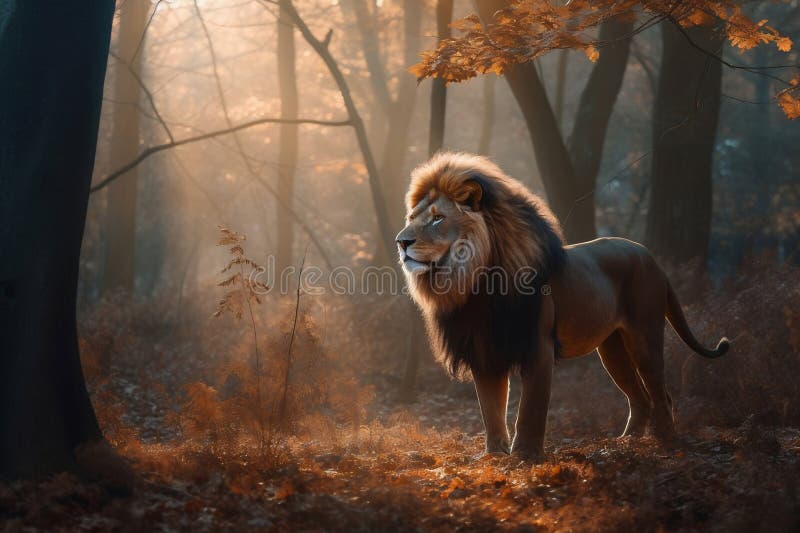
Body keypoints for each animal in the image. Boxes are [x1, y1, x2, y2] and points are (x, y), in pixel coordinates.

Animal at [396, 152, 729, 462]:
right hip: (612, 348)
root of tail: (650, 257)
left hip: (644, 334)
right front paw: (494, 456)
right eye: (412, 217)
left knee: (661, 391)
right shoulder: (485, 351)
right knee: (640, 397)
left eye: (438, 218)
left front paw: (525, 456)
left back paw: (665, 442)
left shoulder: (538, 346)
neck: (474, 282)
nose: (401, 242)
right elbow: (490, 410)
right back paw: (627, 443)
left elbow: (531, 408)